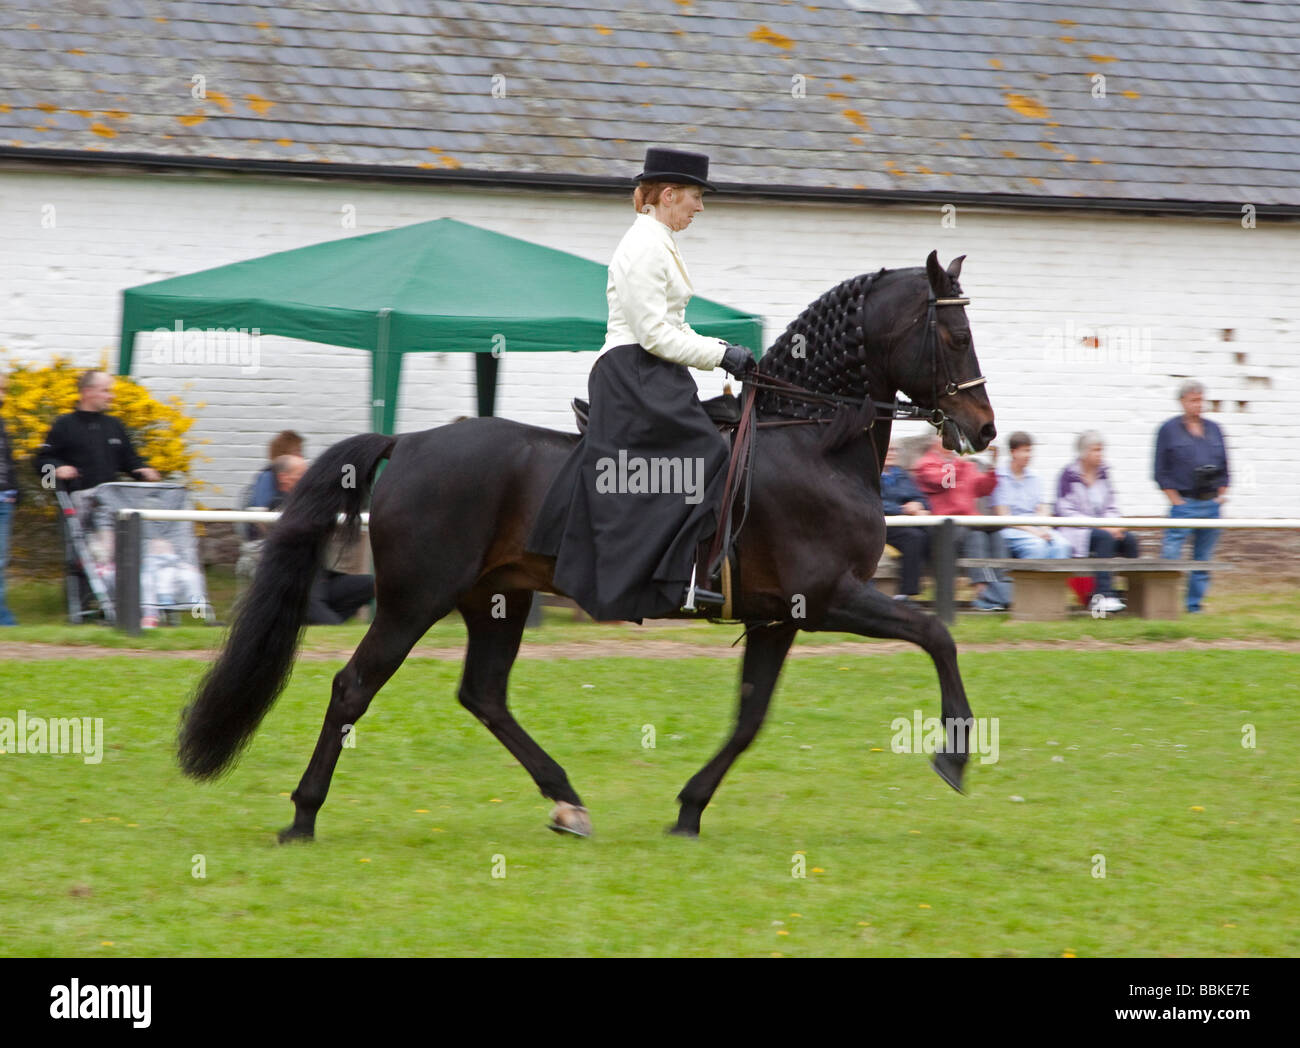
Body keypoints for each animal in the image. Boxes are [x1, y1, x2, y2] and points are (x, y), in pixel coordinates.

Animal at [178, 250, 995, 840]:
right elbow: (936, 633)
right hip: (414, 602)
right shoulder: (827, 599)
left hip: (498, 600)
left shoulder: (778, 617)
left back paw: (566, 801)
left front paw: (689, 809)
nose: (984, 429)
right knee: (354, 687)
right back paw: (303, 816)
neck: (812, 440)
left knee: (483, 694)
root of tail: (406, 442)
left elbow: (749, 718)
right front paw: (954, 753)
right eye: (956, 335)